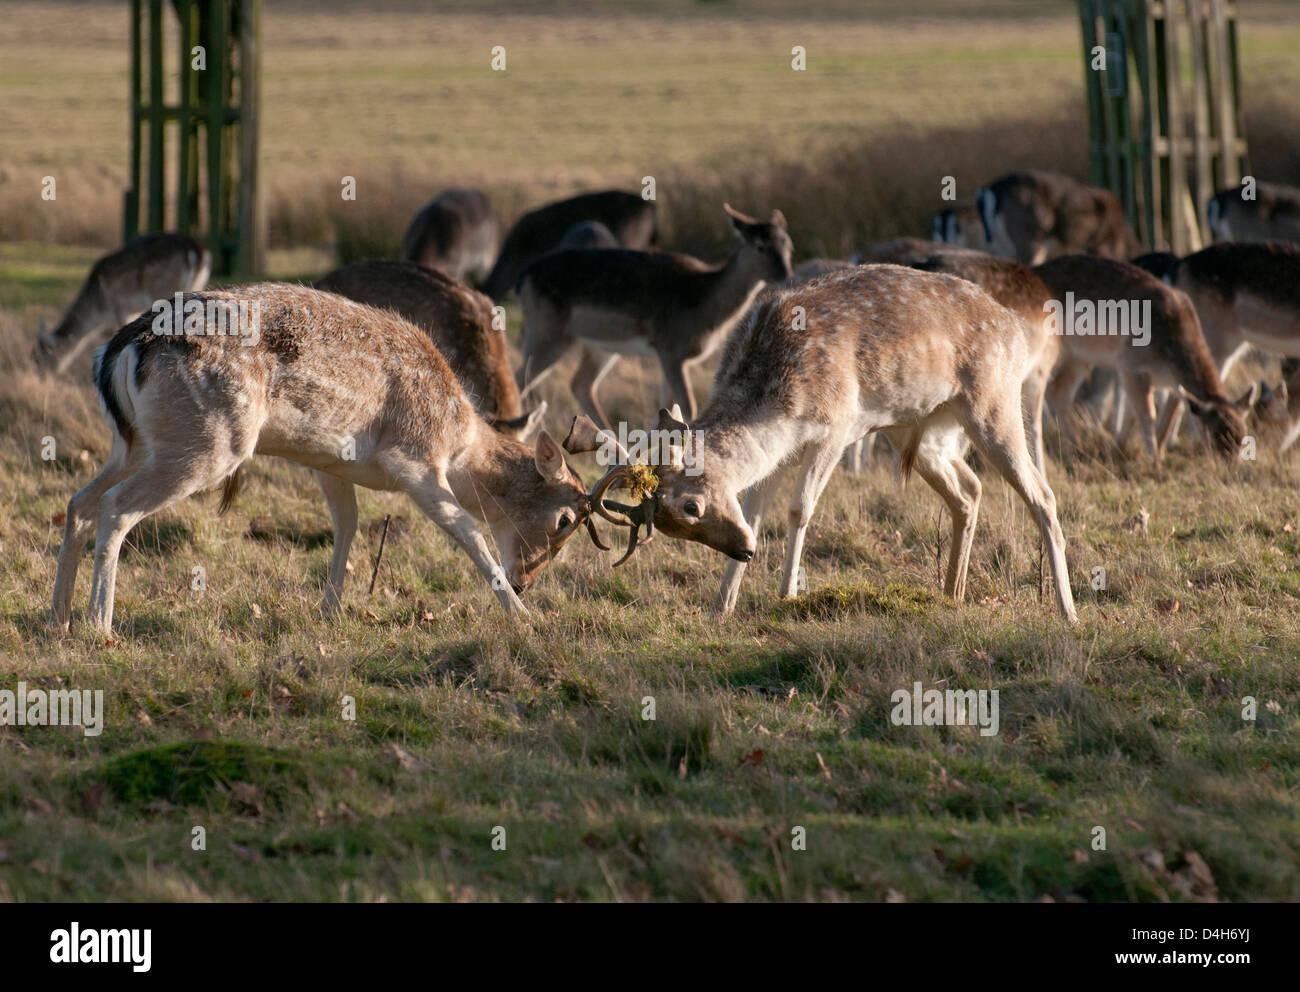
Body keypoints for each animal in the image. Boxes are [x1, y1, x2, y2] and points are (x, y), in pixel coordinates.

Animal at [49, 284, 614, 635]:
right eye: (565, 519)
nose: (525, 581)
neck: (460, 440)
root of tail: (120, 349)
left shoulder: (331, 464)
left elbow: (349, 524)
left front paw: (331, 610)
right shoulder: (413, 458)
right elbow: (469, 532)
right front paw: (523, 617)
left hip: (134, 443)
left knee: (79, 502)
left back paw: (59, 618)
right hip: (210, 443)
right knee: (117, 507)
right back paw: (100, 625)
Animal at [516, 204, 794, 431]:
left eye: (788, 244)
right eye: (760, 246)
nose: (786, 274)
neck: (704, 304)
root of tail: (523, 278)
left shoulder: (667, 357)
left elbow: (667, 409)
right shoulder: (670, 349)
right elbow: (689, 407)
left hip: (602, 346)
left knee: (581, 384)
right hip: (548, 330)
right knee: (522, 376)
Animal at [565, 265, 1078, 622]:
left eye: (690, 506)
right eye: (672, 529)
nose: (744, 551)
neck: (778, 398)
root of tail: (1016, 330)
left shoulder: (840, 425)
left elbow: (799, 507)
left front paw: (787, 593)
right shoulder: (775, 456)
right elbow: (755, 513)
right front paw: (720, 606)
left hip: (994, 402)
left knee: (1044, 495)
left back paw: (1066, 610)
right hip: (923, 431)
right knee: (969, 489)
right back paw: (951, 592)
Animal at [1034, 255, 1253, 463]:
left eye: (1242, 438)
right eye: (1215, 436)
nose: (1230, 466)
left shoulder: (1163, 381)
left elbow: (1145, 413)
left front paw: (1121, 450)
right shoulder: (1129, 364)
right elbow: (1147, 414)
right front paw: (1154, 462)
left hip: (1078, 358)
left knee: (1060, 393)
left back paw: (1076, 452)